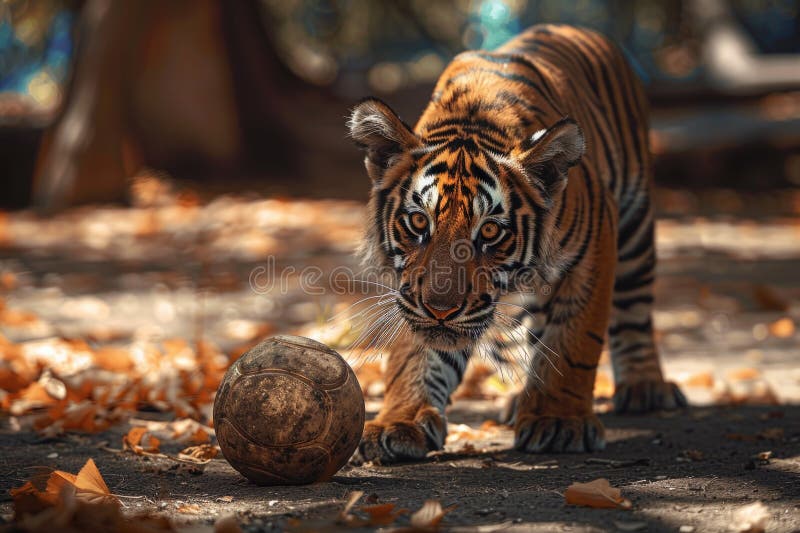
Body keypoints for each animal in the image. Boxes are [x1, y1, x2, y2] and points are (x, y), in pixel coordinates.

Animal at [347, 24, 686, 463]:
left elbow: (573, 340)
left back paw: (644, 388)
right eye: (419, 221)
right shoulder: (408, 287)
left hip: (635, 224)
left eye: (491, 231)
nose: (441, 311)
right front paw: (399, 421)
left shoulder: (594, 247)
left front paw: (558, 421)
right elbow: (412, 353)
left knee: (634, 311)